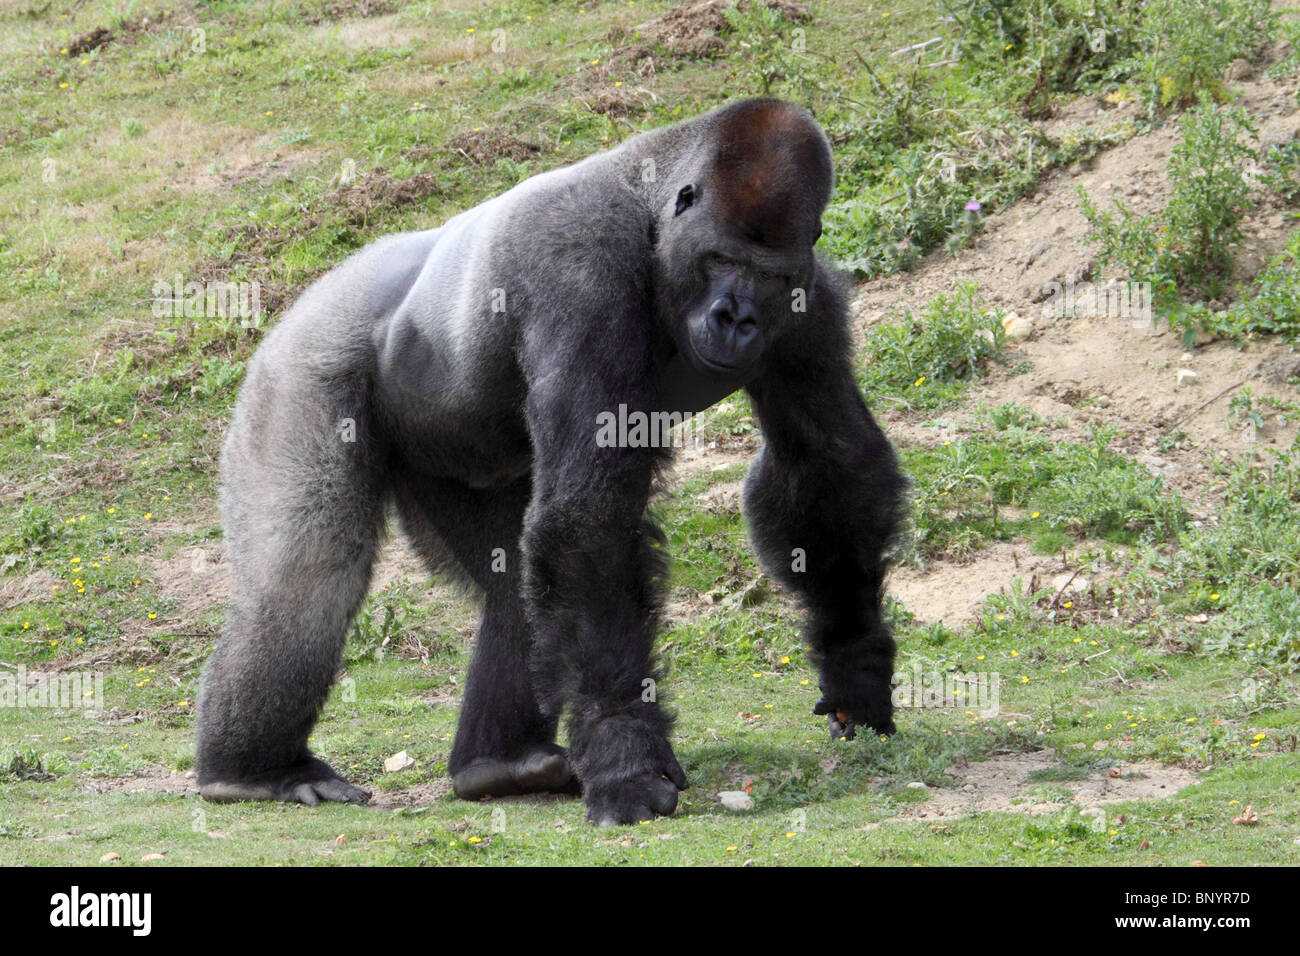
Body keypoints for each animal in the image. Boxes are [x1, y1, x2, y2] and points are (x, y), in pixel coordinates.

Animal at [195, 97, 906, 826]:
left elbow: (824, 469)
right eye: (719, 258)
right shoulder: (581, 271)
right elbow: (590, 520)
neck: (654, 209)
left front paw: (855, 664)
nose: (736, 317)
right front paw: (625, 755)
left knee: (511, 579)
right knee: (307, 579)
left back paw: (499, 763)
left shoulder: (812, 301)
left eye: (768, 274)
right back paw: (255, 770)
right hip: (300, 364)